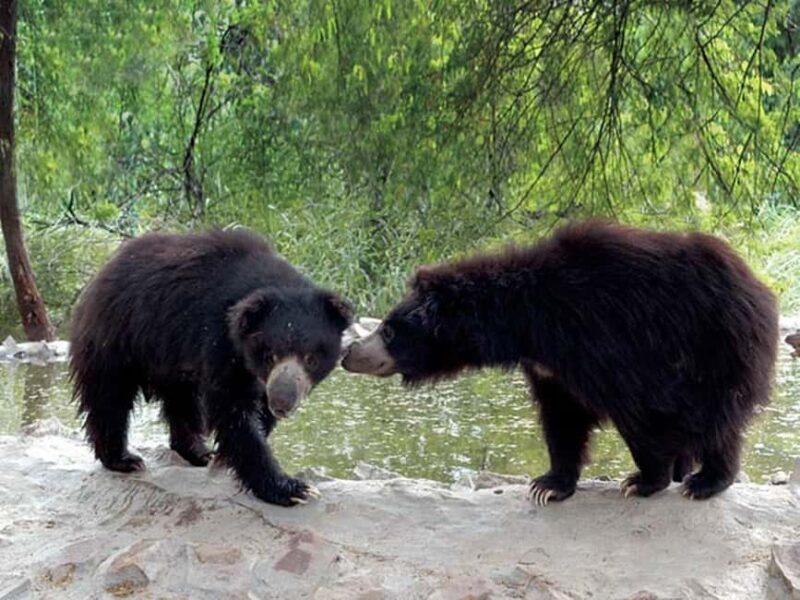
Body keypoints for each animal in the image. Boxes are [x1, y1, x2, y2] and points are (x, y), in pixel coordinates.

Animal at [69, 229, 353, 506]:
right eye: (270, 356)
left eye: (311, 359)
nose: (282, 403)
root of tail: (101, 273)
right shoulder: (219, 336)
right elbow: (232, 409)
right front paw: (294, 489)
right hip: (119, 337)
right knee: (110, 397)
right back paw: (124, 459)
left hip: (170, 357)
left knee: (183, 401)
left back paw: (198, 452)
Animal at [342, 221, 779, 503]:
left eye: (389, 331)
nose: (350, 354)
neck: (528, 323)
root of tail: (758, 286)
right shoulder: (549, 367)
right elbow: (562, 418)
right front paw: (548, 485)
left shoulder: (606, 339)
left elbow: (638, 409)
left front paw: (642, 481)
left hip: (716, 347)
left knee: (716, 419)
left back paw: (704, 481)